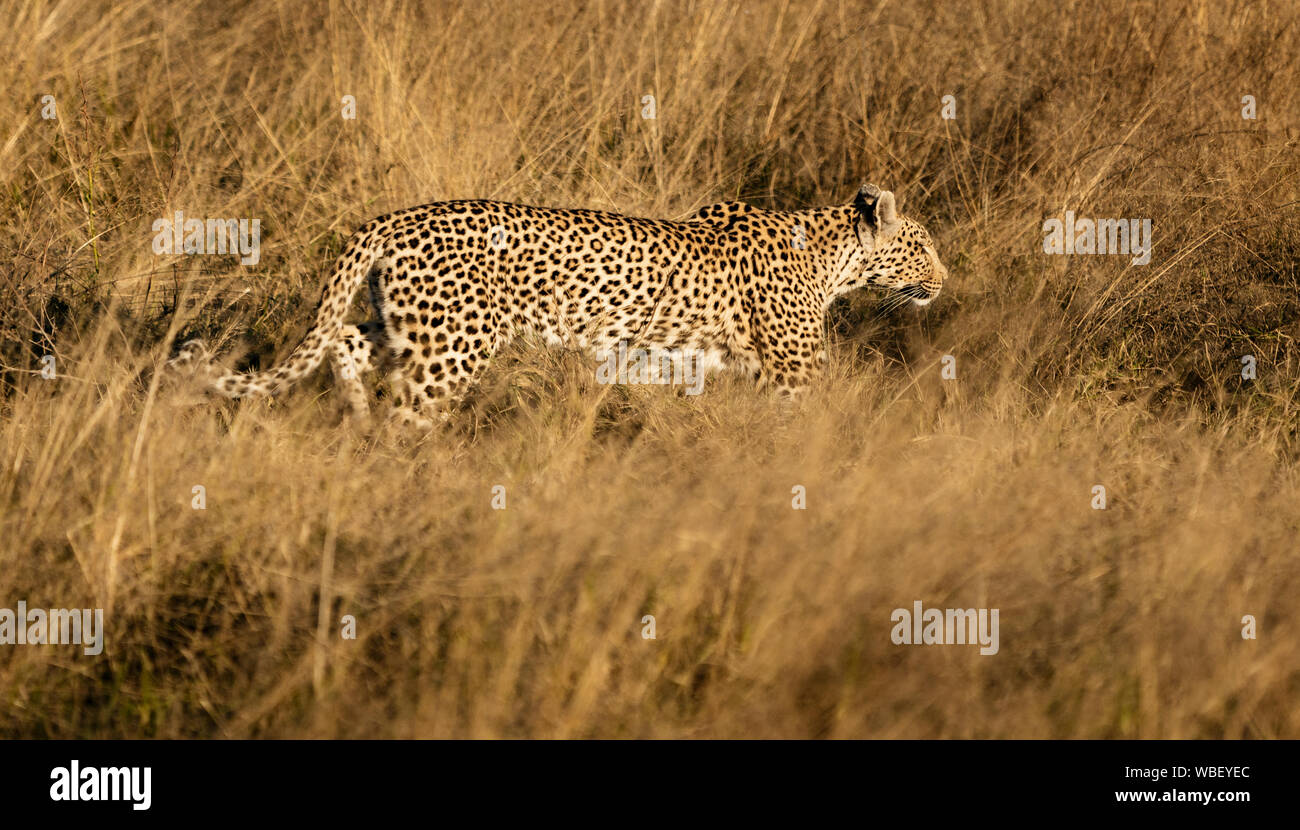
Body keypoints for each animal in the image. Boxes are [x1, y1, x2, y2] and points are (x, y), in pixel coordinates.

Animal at [170, 183, 947, 429]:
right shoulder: (794, 378)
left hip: (409, 327)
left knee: (345, 344)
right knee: (407, 419)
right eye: (923, 246)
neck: (835, 257)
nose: (945, 278)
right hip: (454, 348)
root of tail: (394, 218)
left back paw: (354, 424)